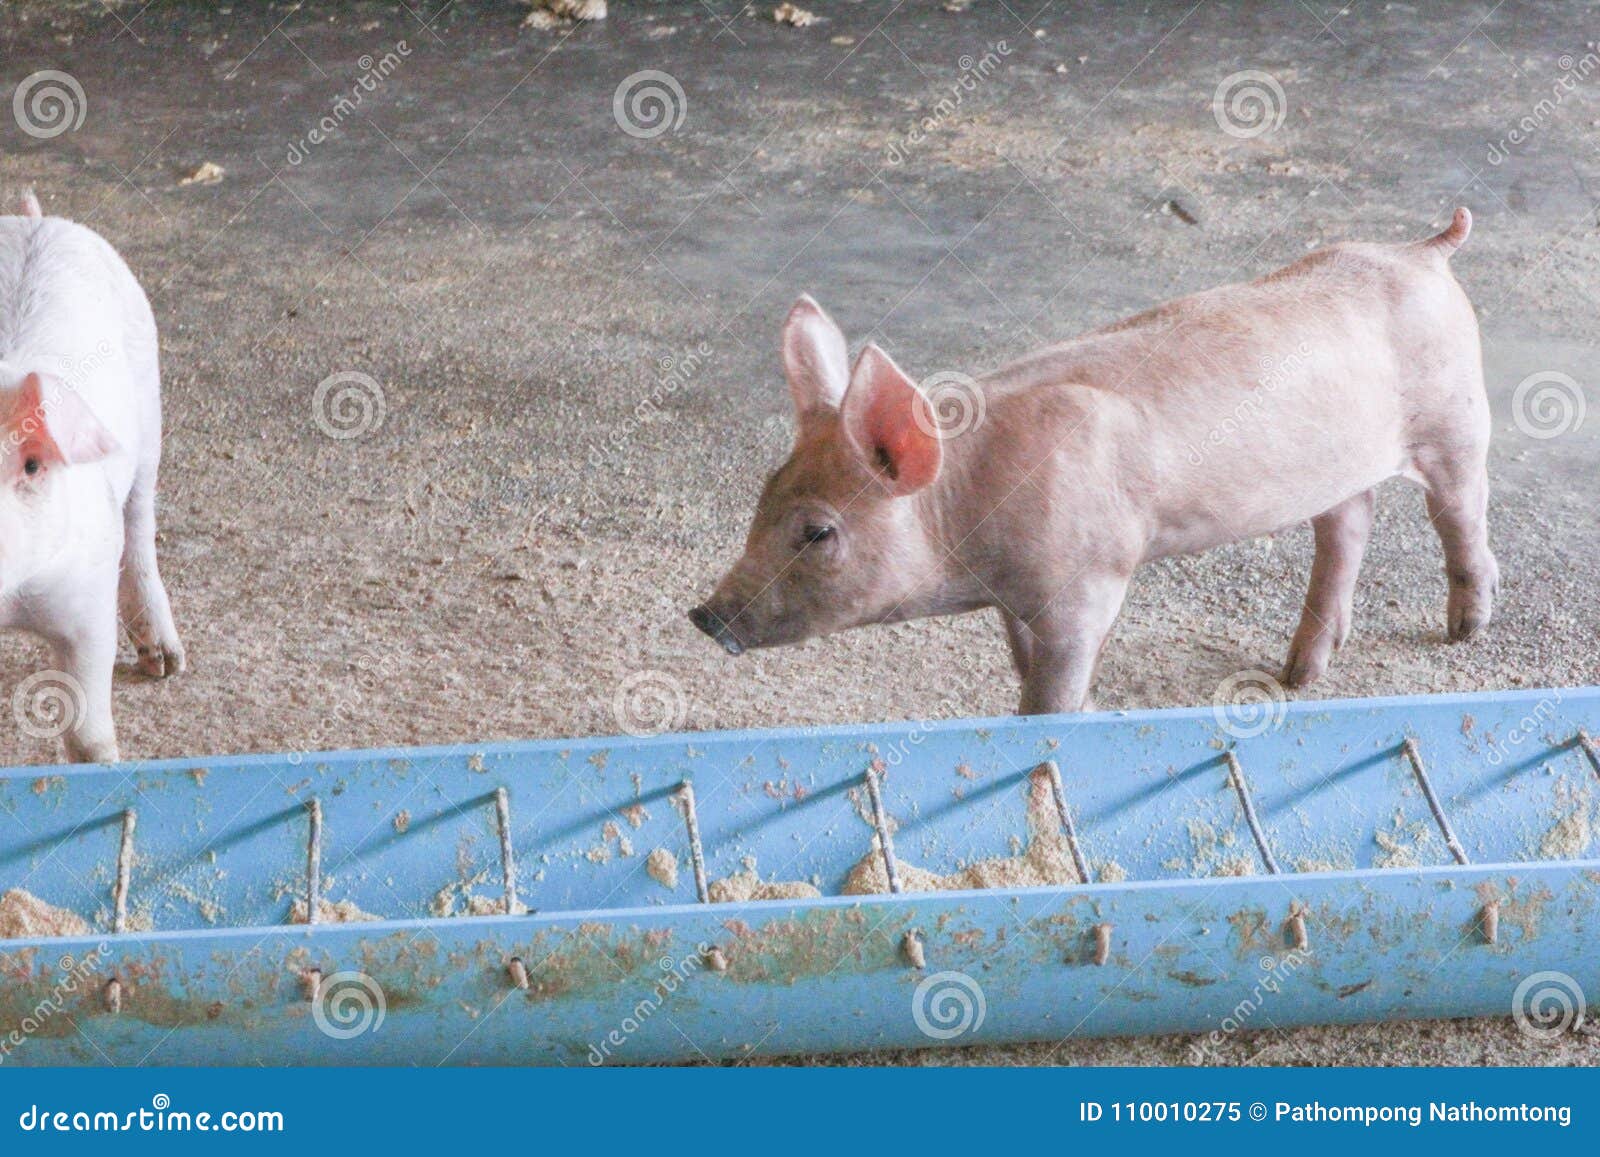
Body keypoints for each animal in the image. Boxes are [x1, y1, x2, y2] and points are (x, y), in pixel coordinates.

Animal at [0, 189, 184, 762]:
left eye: (33, 464)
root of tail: (38, 222)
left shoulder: (85, 597)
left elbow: (87, 729)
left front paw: (103, 764)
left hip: (150, 404)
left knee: (140, 524)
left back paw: (165, 664)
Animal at [690, 209, 1496, 715]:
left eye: (818, 532)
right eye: (762, 497)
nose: (703, 615)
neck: (964, 513)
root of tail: (1426, 249)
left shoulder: (1090, 579)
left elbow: (1053, 686)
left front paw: (1057, 715)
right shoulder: (1017, 595)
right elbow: (1025, 661)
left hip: (1458, 418)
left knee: (1460, 514)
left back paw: (1465, 629)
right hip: (1336, 464)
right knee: (1348, 523)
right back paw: (1298, 675)